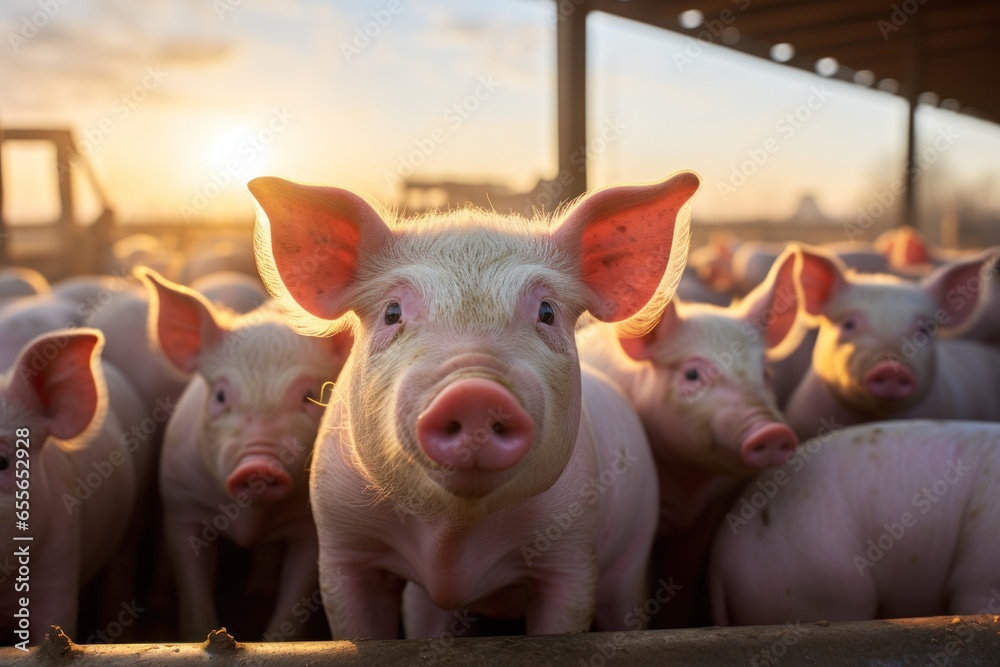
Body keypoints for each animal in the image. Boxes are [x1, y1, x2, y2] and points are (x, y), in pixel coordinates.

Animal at [138, 268, 353, 640]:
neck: (250, 520)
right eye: (221, 396)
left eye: (309, 396)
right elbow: (193, 598)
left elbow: (290, 611)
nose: (258, 463)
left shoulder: (309, 530)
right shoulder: (183, 507)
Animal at [248, 171, 699, 638]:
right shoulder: (342, 547)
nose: (474, 393)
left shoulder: (573, 557)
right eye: (392, 312)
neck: (455, 537)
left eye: (547, 312)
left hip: (635, 547)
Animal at [578, 248, 803, 626]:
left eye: (766, 374)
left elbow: (682, 577)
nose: (773, 431)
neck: (685, 485)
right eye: (693, 374)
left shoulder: (704, 518)